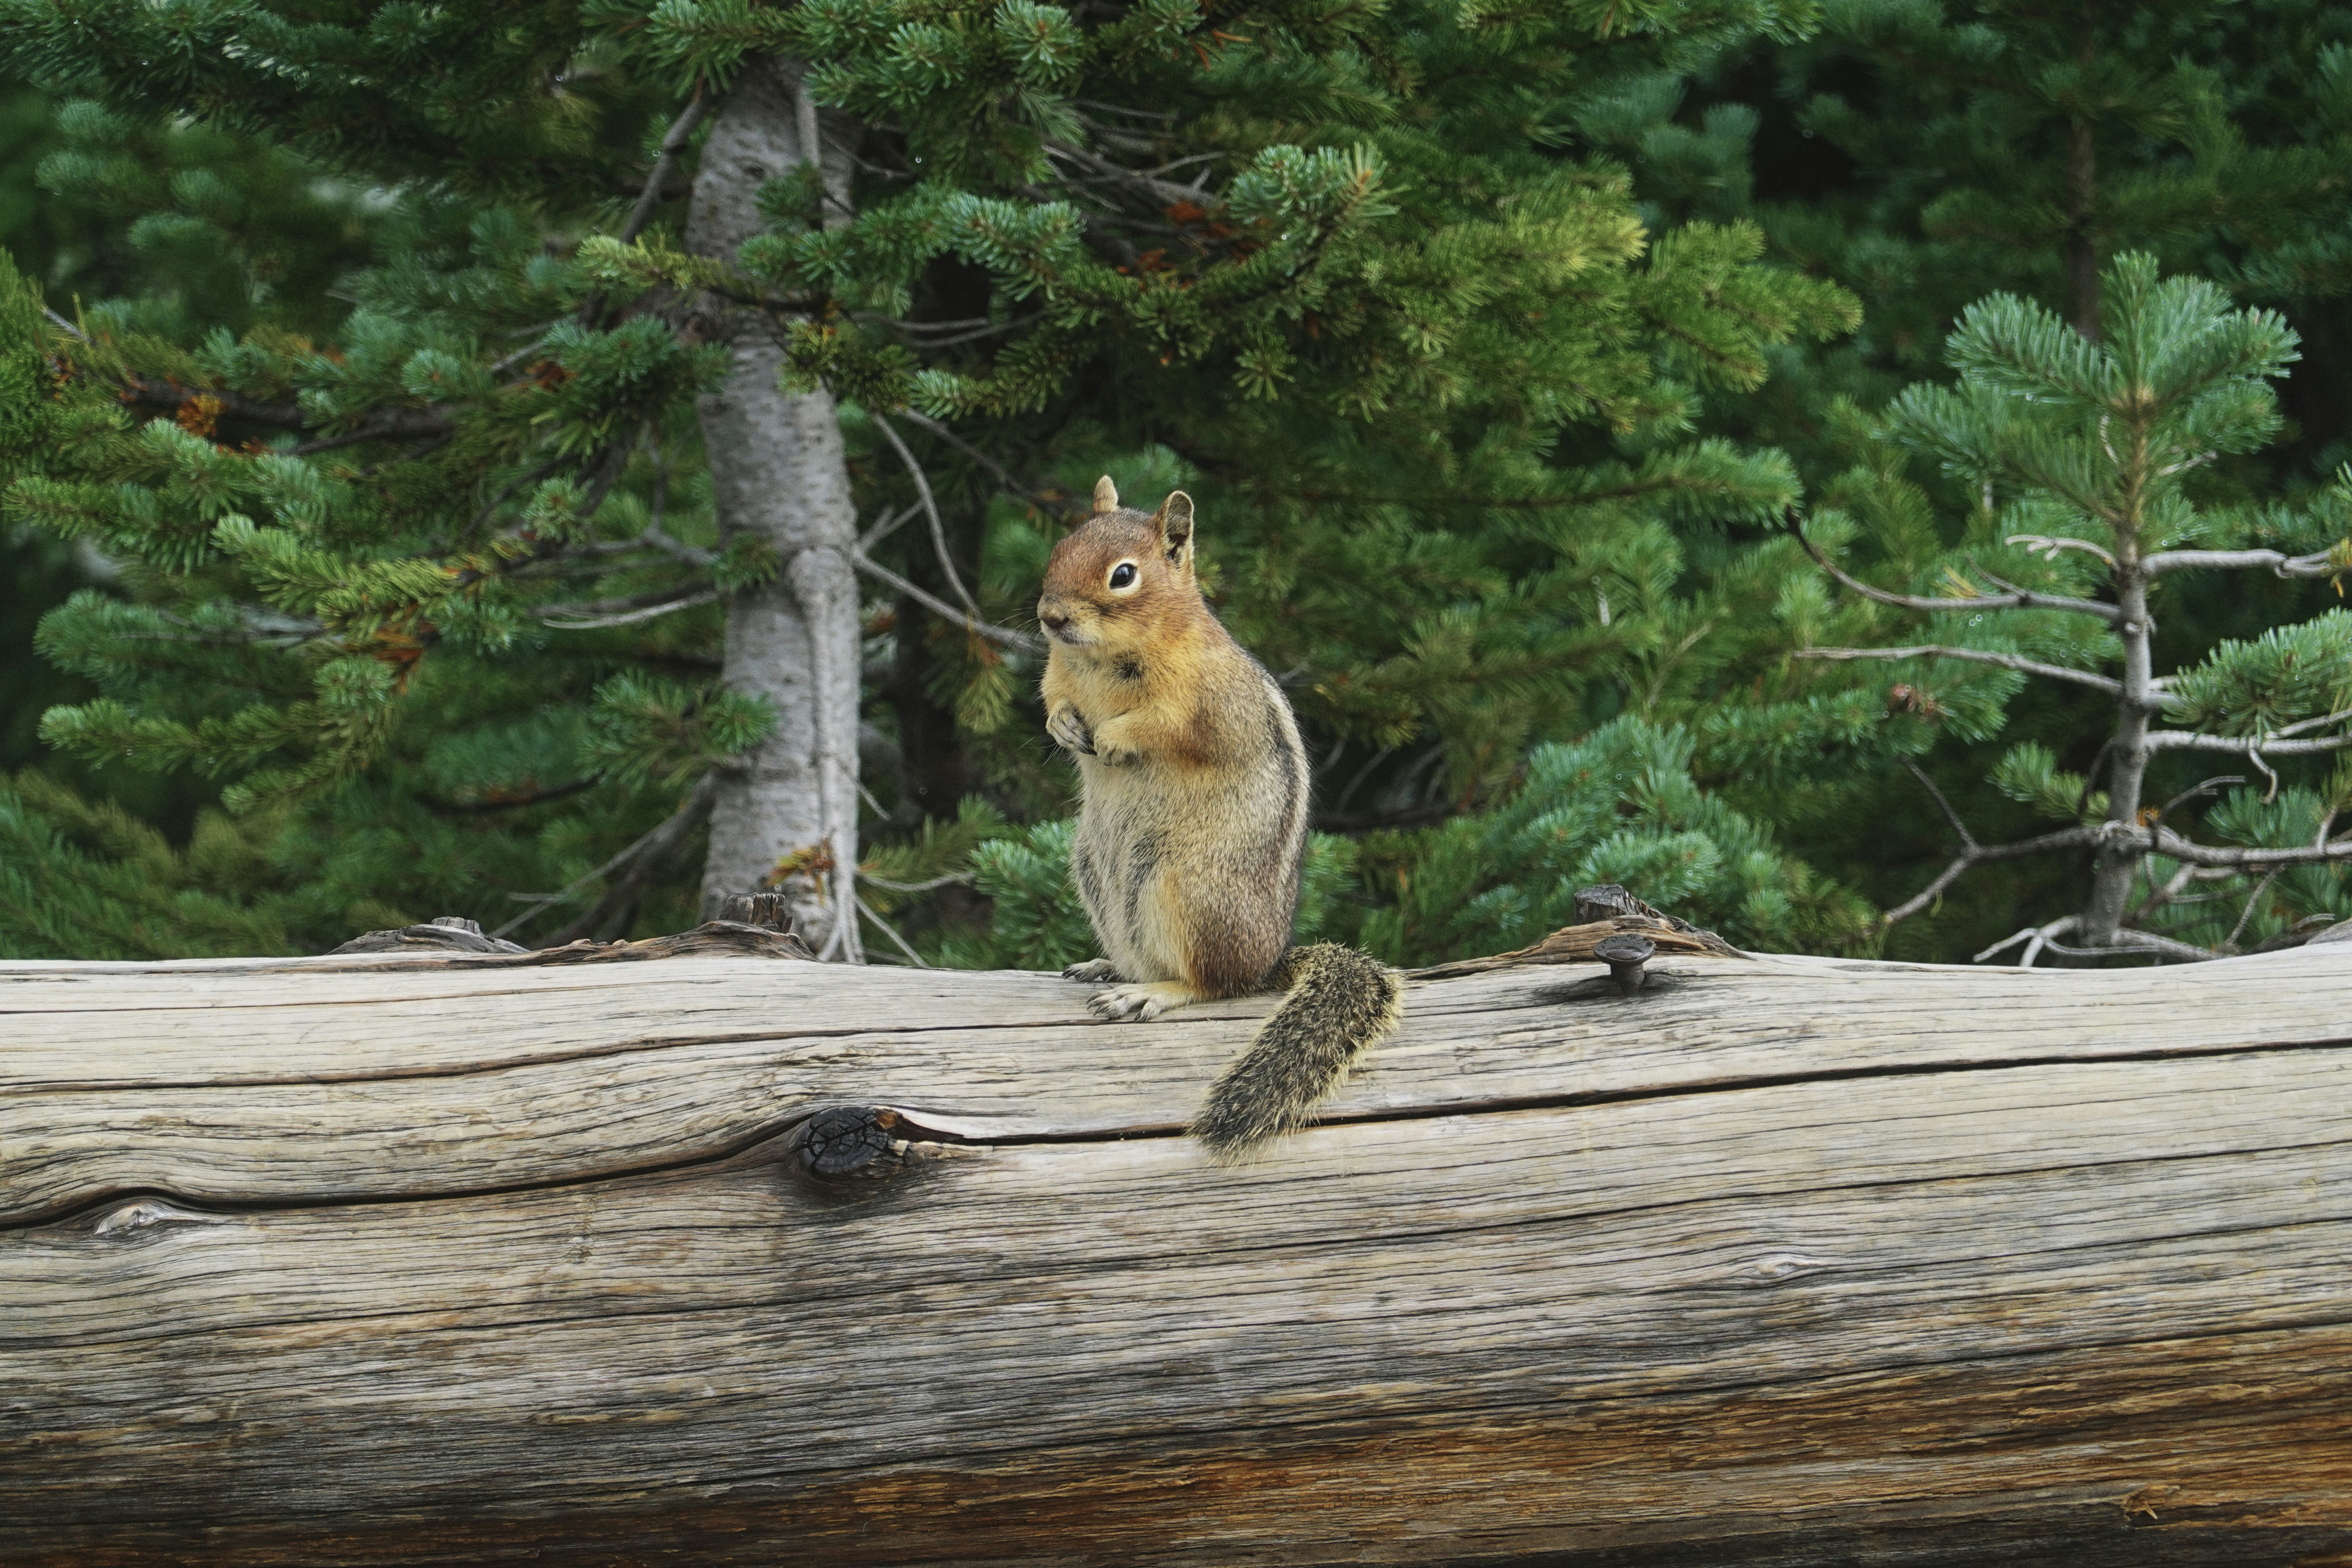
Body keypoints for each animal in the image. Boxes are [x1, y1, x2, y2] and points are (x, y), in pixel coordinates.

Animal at [1036, 475, 1403, 1161]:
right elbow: (1052, 699)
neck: (1103, 658)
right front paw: (1065, 727)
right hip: (1095, 874)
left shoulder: (1202, 704)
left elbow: (1166, 728)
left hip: (1186, 890)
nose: (1050, 617)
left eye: (1123, 575)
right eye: (1061, 547)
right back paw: (1109, 966)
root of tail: (1269, 958)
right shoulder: (1058, 673)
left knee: (1215, 986)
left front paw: (1116, 739)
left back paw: (1149, 992)